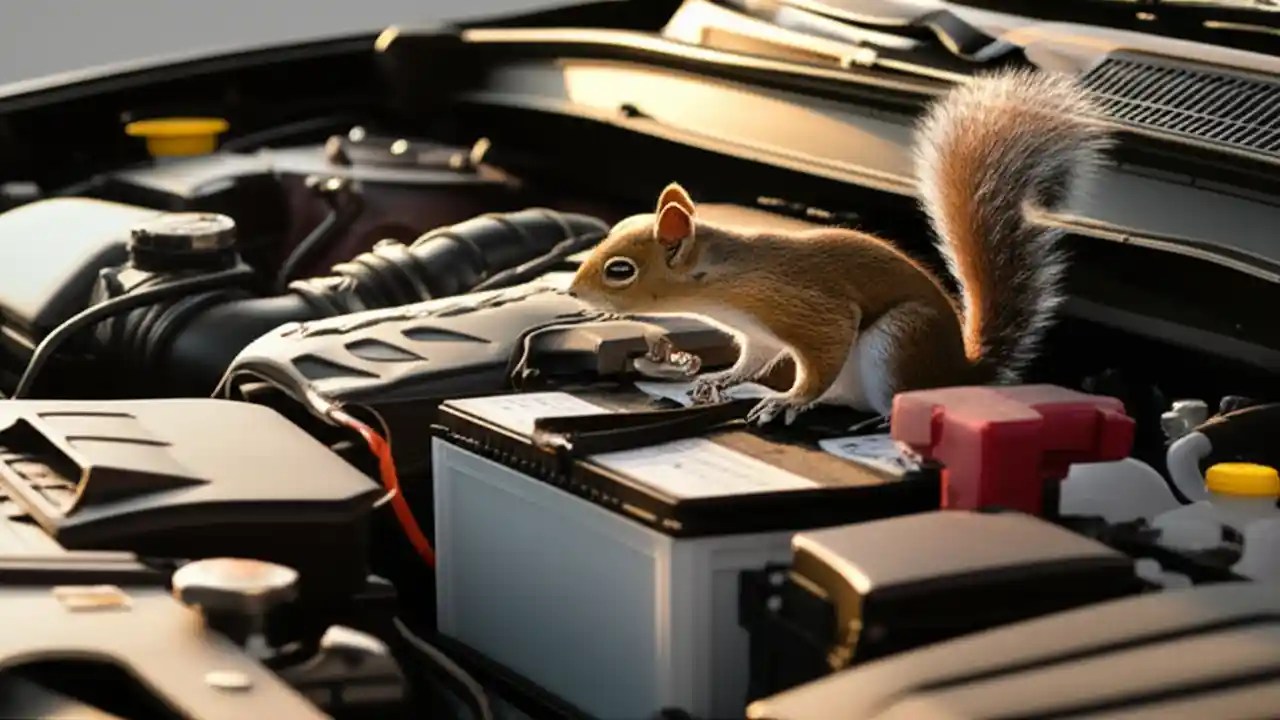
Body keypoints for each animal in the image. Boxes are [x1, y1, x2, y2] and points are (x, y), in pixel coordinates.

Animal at [567, 68, 1110, 425]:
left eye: (620, 270)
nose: (572, 292)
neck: (727, 280)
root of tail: (959, 374)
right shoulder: (759, 334)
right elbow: (754, 359)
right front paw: (720, 380)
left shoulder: (806, 307)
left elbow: (824, 349)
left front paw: (785, 399)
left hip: (901, 341)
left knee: (894, 396)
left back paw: (877, 419)